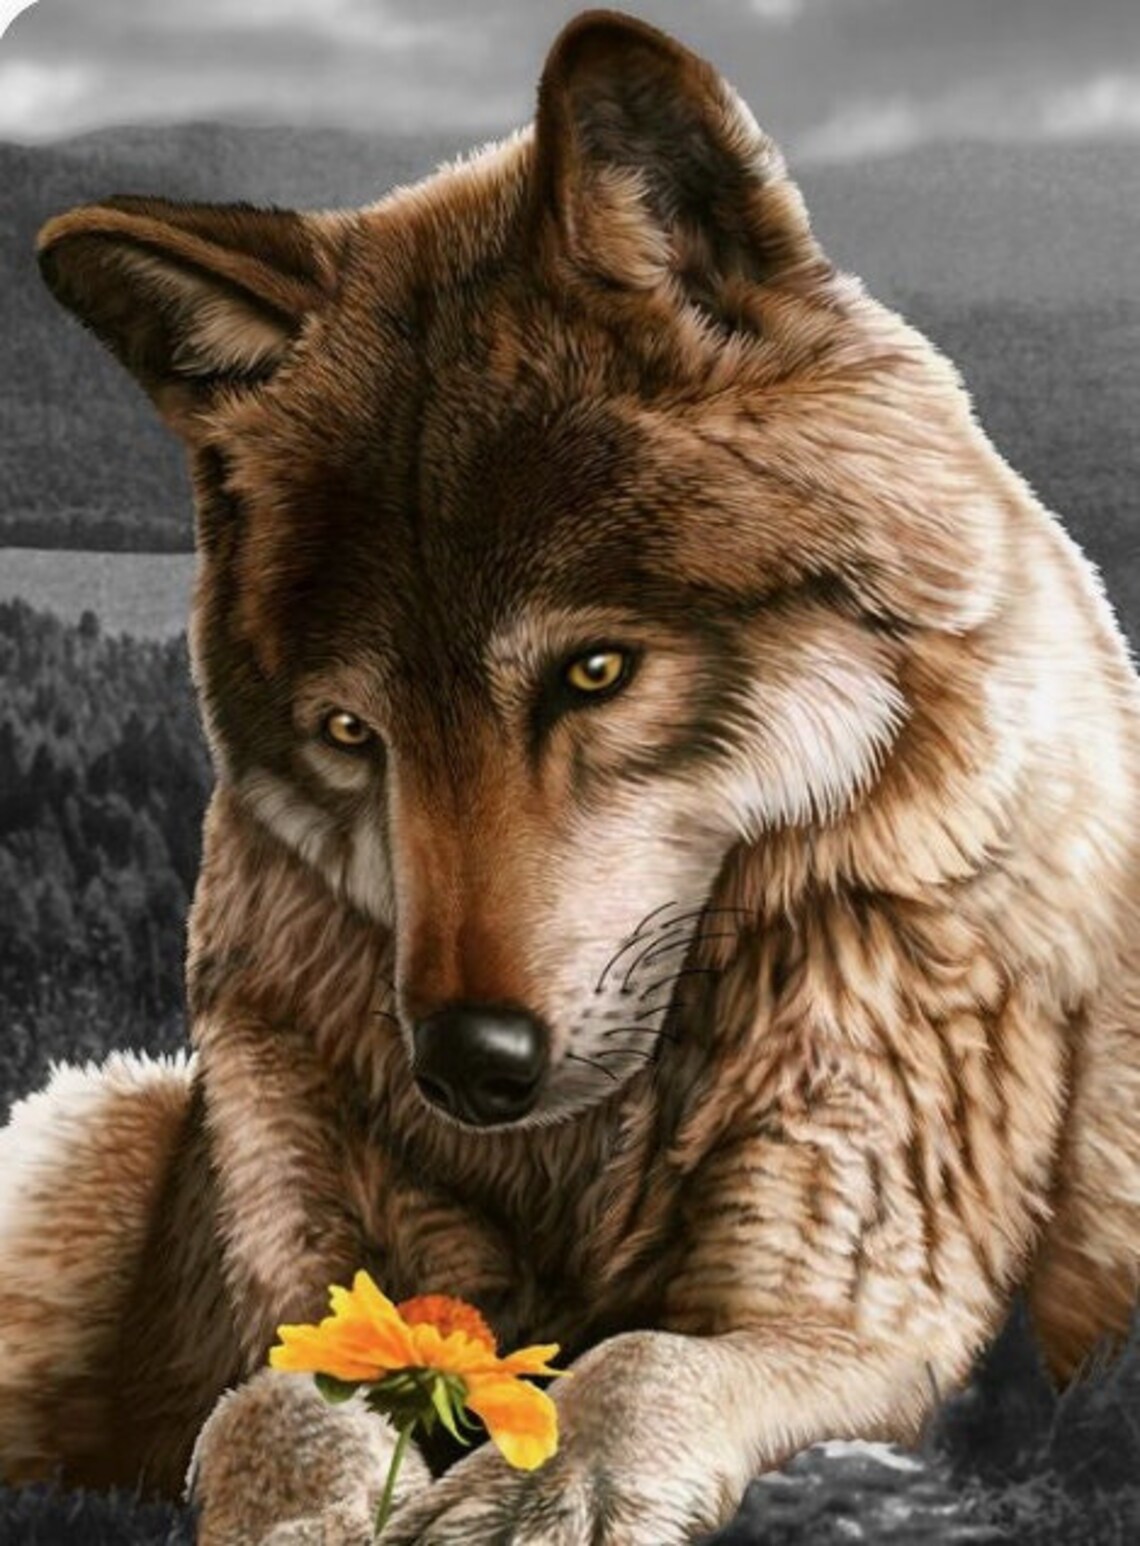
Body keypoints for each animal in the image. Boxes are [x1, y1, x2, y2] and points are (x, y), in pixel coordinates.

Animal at [4, 8, 1139, 1543]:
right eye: (352, 732)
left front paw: (538, 1489)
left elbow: (641, 1356)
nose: (465, 1066)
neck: (585, 1157)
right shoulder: (313, 1289)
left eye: (595, 671)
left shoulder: (865, 1317)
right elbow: (273, 1402)